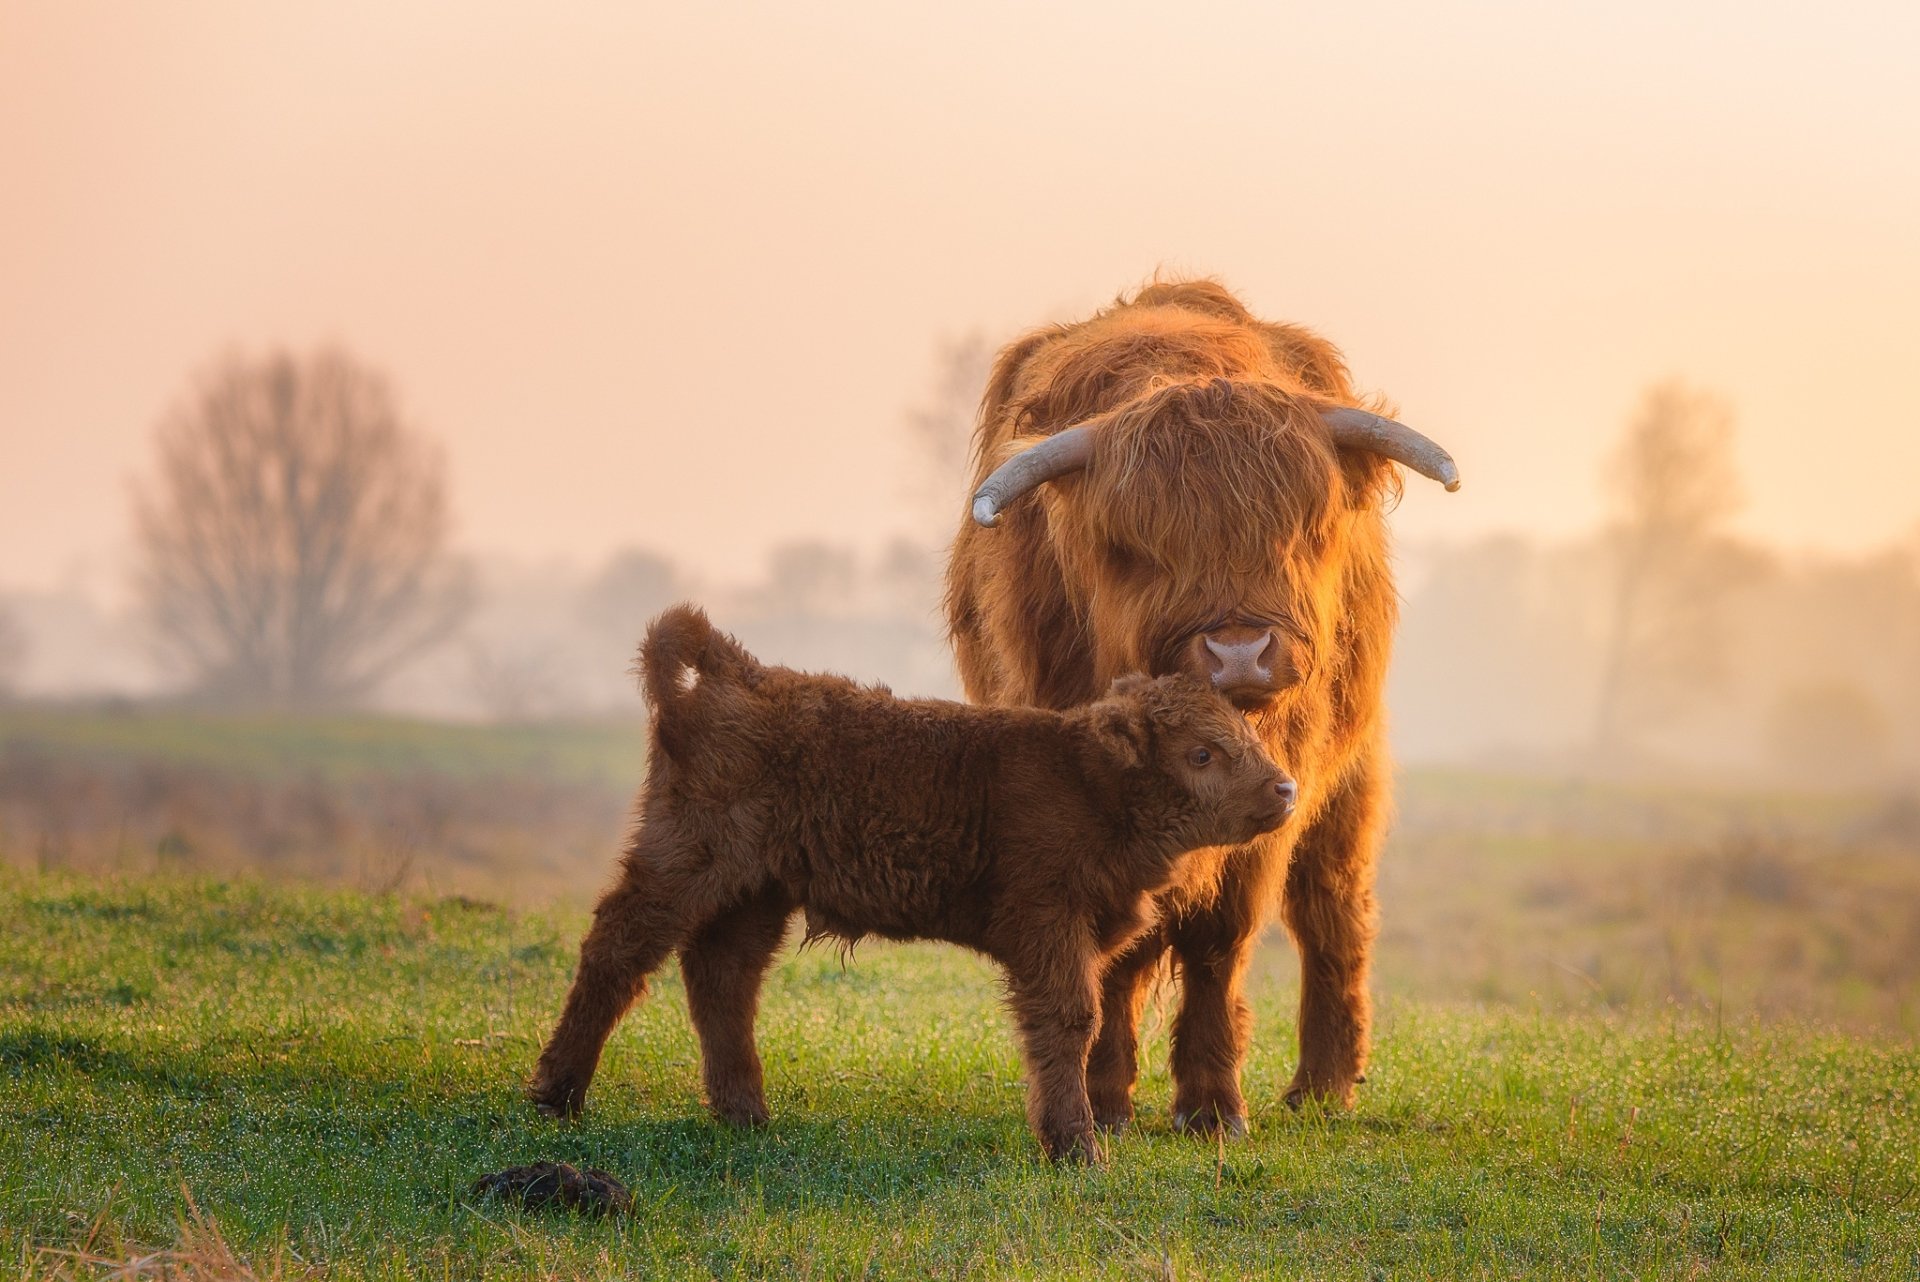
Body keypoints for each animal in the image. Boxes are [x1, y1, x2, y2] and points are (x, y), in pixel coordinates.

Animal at [944, 278, 1459, 1135]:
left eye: (1304, 531)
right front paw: (1105, 1099)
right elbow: (1114, 954)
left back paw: (1324, 1088)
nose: (1239, 652)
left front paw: (1214, 1105)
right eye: (1137, 548)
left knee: (1332, 912)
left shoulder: (1274, 798)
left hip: (1349, 783)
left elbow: (1221, 940)